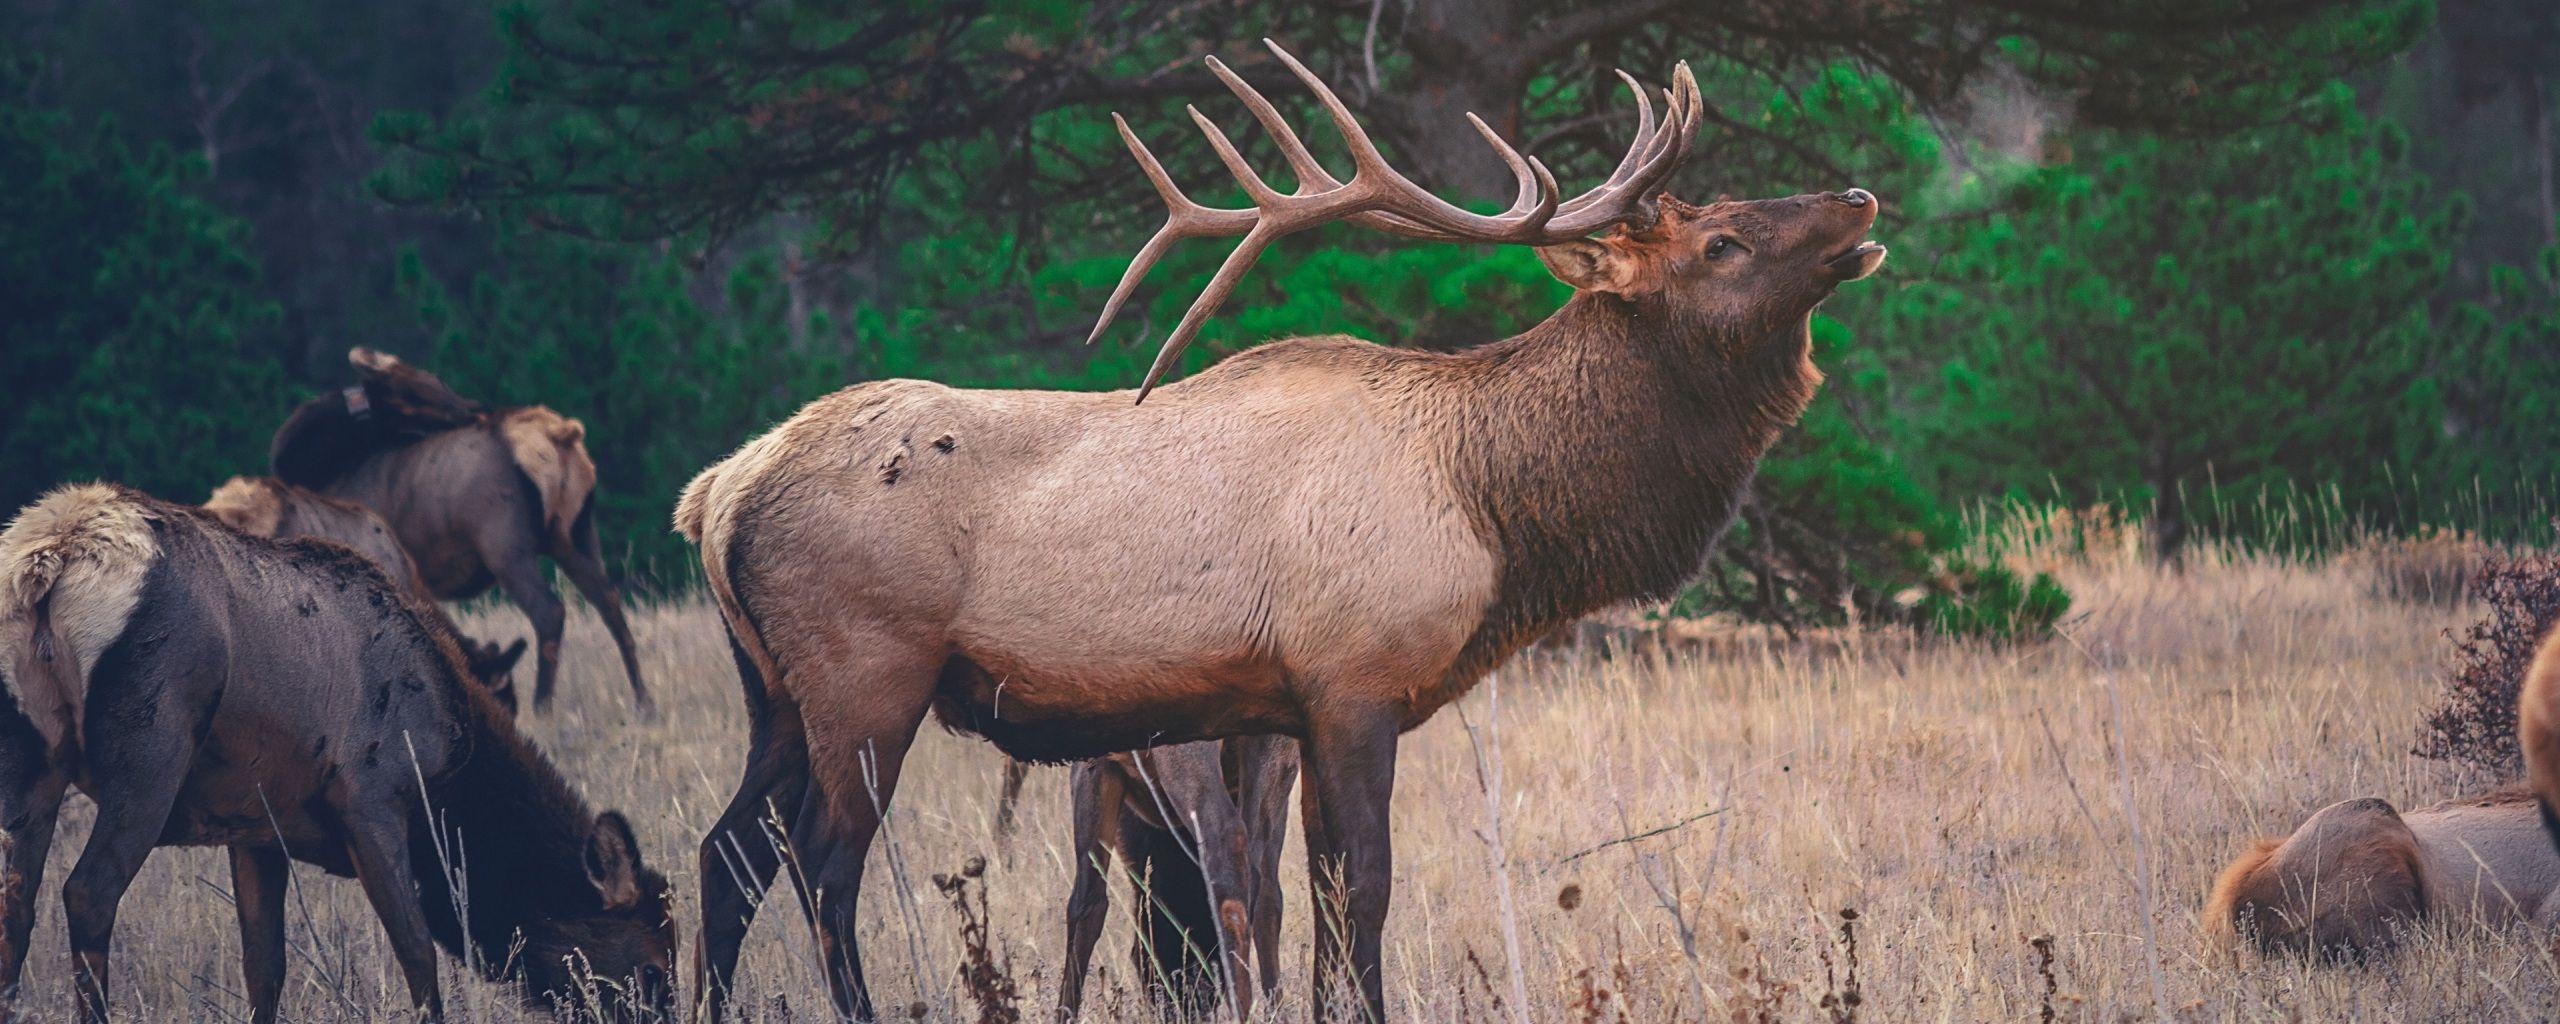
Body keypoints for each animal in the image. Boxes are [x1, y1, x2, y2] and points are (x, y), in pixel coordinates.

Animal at [0, 483, 674, 1023]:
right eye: (651, 965)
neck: (452, 776)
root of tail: (49, 559)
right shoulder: (372, 799)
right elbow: (418, 955)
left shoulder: (256, 828)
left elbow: (265, 967)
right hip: (152, 752)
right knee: (88, 892)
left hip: (32, 761)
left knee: (16, 906)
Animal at [272, 348, 651, 712]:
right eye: (414, 388)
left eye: (433, 378)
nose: (476, 409)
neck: (321, 468)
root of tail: (563, 436)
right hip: (577, 533)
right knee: (610, 602)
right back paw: (643, 703)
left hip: (503, 542)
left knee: (549, 611)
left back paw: (543, 707)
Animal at [676, 39, 1884, 1023]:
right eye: (1723, 240)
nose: (1862, 198)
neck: (1489, 504)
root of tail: (718, 491)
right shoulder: (1353, 679)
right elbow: (1364, 893)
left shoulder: (1284, 709)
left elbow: (1304, 903)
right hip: (867, 671)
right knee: (822, 867)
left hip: (772, 690)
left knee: (726, 854)